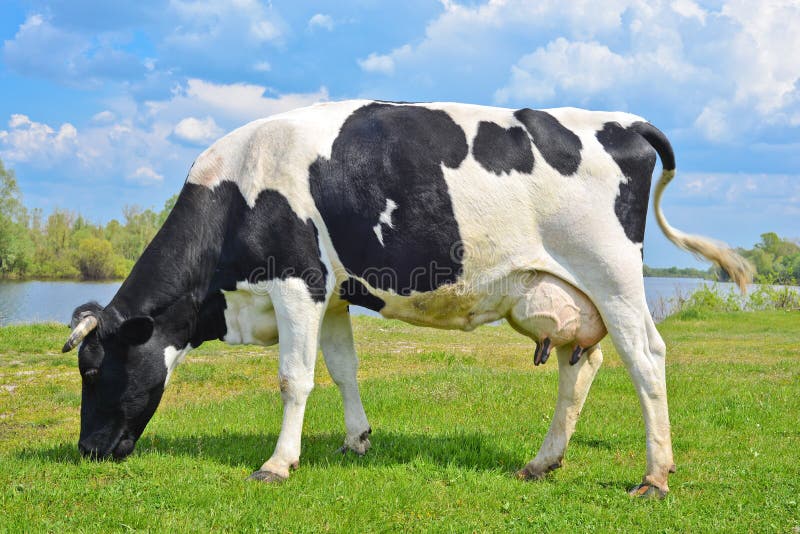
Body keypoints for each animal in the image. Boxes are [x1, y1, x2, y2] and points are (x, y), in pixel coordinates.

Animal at [63, 101, 752, 498]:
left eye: (93, 370)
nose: (87, 452)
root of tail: (626, 120)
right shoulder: (335, 295)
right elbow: (342, 370)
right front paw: (355, 441)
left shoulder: (297, 281)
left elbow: (293, 377)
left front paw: (278, 464)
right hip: (565, 293)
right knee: (580, 365)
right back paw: (541, 462)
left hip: (612, 274)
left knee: (646, 359)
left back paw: (654, 476)